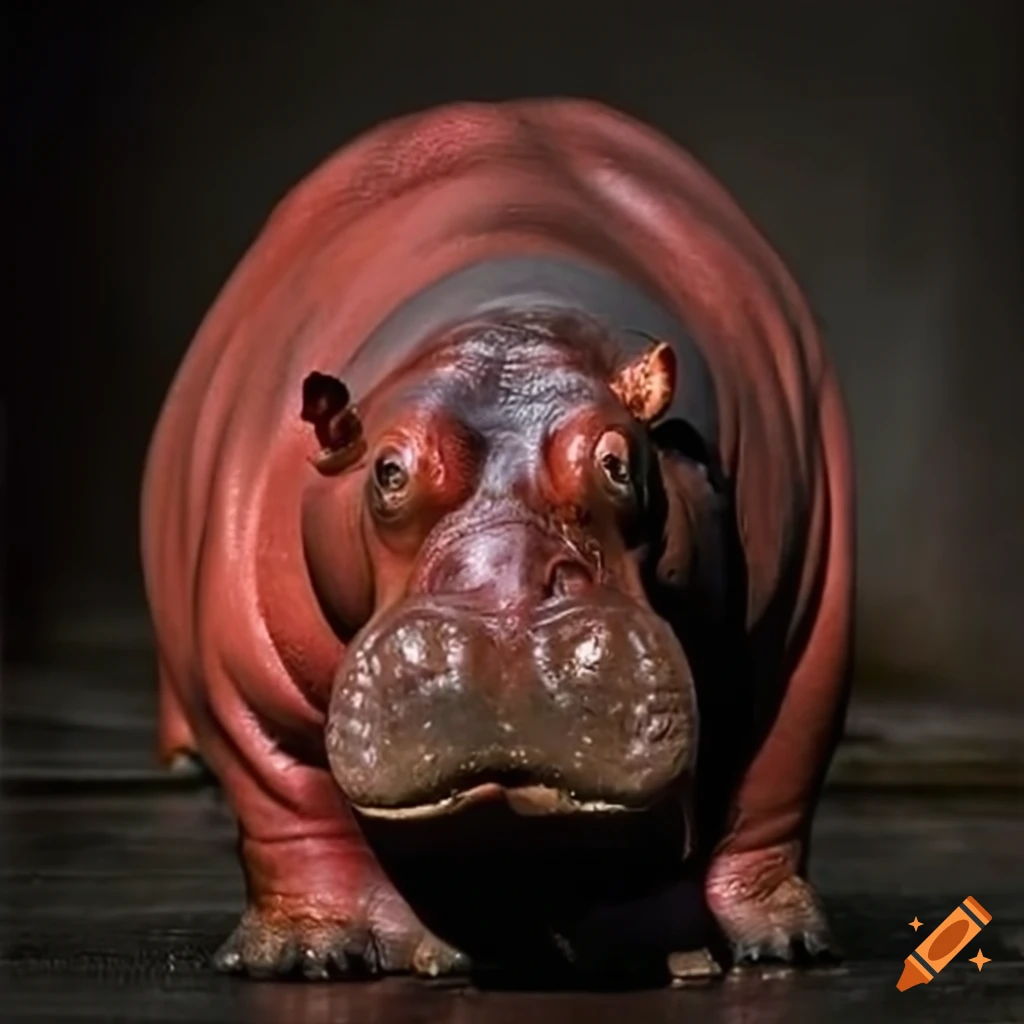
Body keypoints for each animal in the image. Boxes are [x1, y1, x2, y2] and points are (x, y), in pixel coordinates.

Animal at [141, 98, 854, 982]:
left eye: (620, 462)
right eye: (388, 470)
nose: (505, 629)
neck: (513, 324)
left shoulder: (806, 637)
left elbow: (770, 785)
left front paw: (759, 946)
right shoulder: (244, 673)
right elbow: (290, 803)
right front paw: (306, 955)